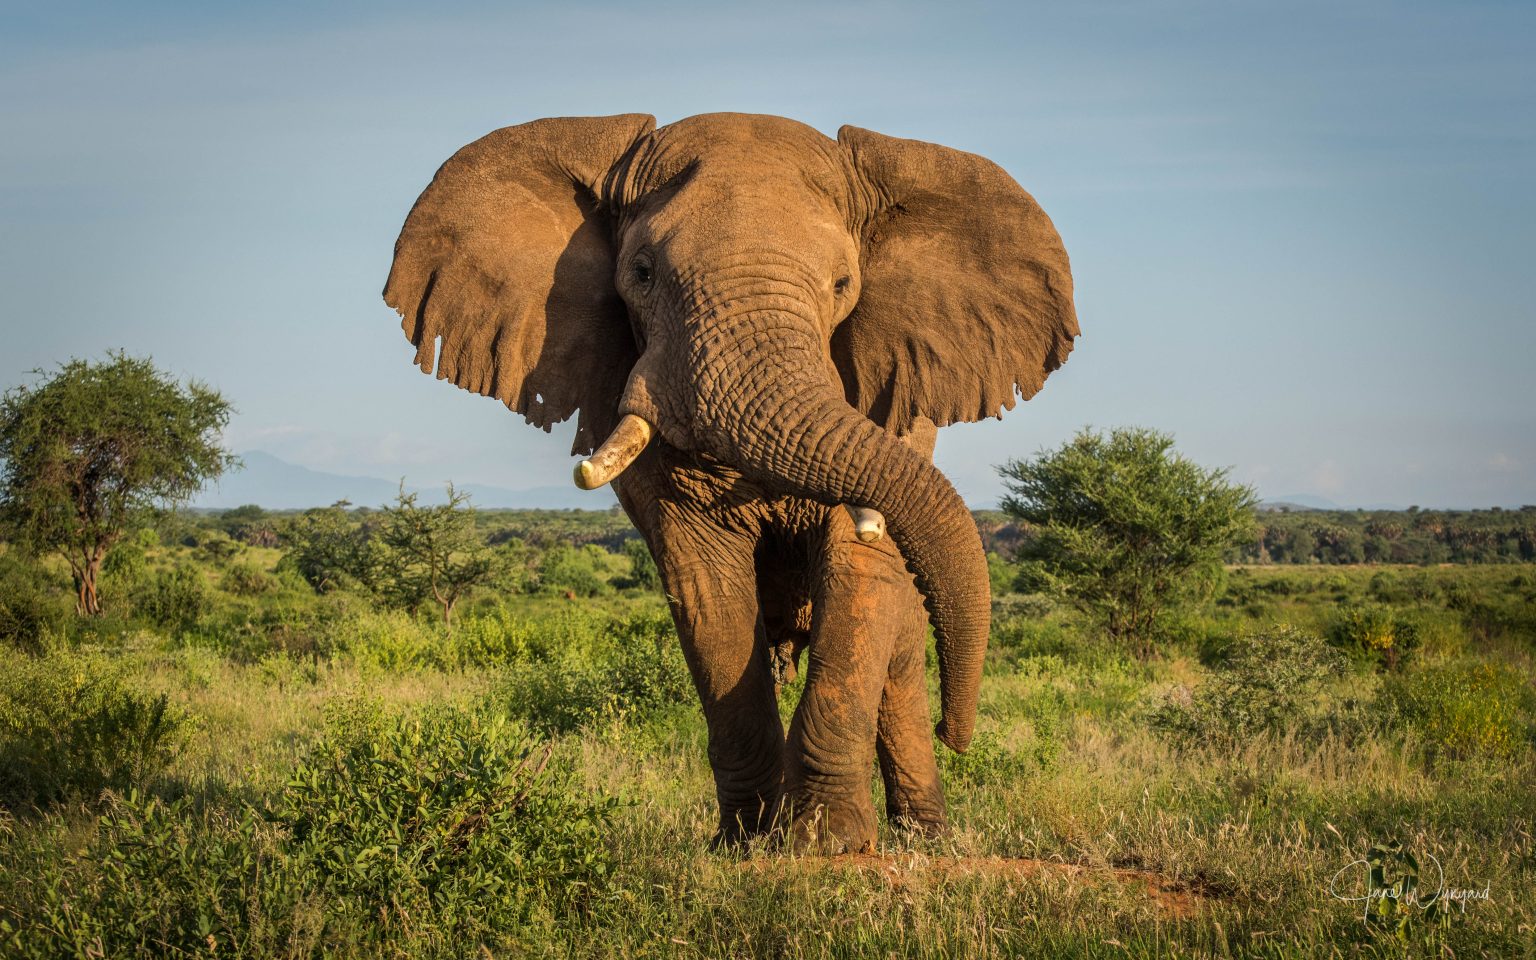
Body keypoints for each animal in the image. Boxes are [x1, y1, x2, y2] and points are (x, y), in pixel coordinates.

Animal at [383, 113, 1077, 852]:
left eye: (843, 284)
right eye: (642, 273)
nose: (961, 733)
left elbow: (858, 568)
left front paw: (828, 844)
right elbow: (705, 588)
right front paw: (748, 845)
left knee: (896, 667)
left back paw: (927, 840)